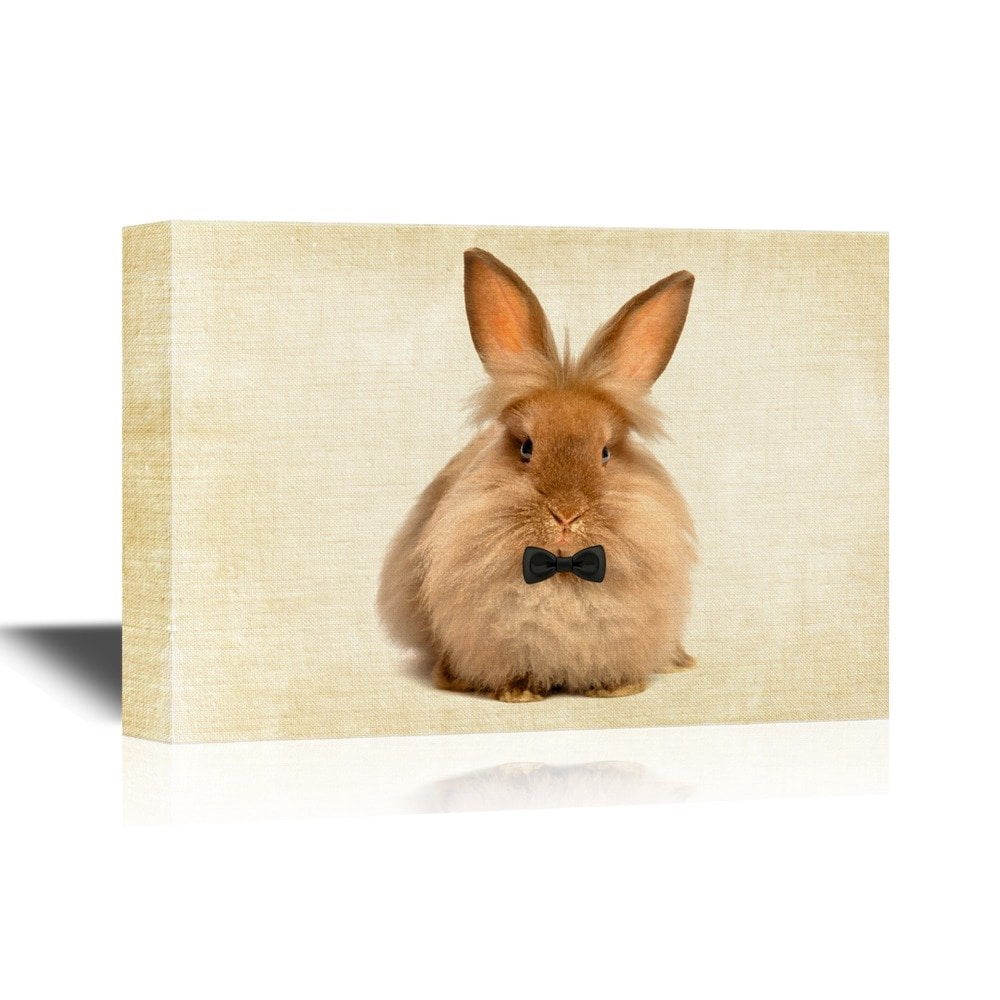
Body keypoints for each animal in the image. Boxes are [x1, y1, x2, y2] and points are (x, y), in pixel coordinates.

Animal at [378, 248, 696, 702]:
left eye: (605, 452)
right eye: (526, 447)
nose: (566, 515)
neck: (562, 568)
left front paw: (616, 689)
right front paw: (518, 693)